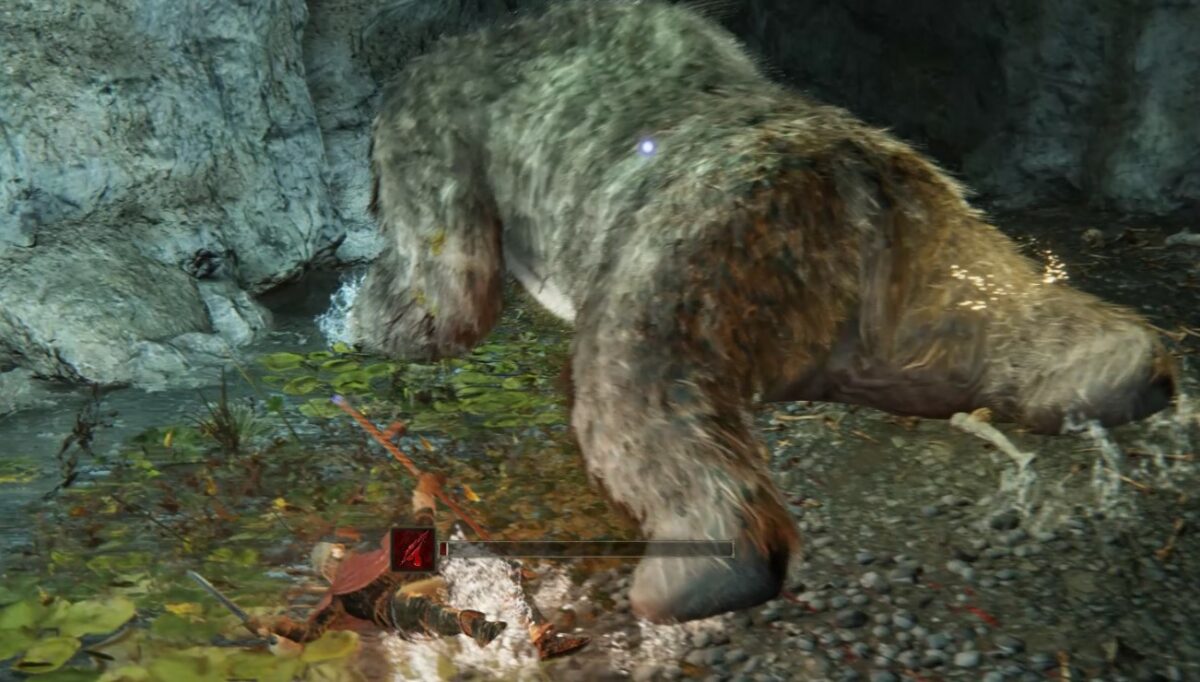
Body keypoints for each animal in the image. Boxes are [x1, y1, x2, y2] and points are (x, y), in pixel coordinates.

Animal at [348, 1, 1176, 623]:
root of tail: (847, 187)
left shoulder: (437, 145)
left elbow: (444, 291)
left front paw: (374, 325)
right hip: (942, 265)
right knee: (1016, 322)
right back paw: (1129, 375)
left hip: (681, 273)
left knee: (648, 411)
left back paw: (702, 573)